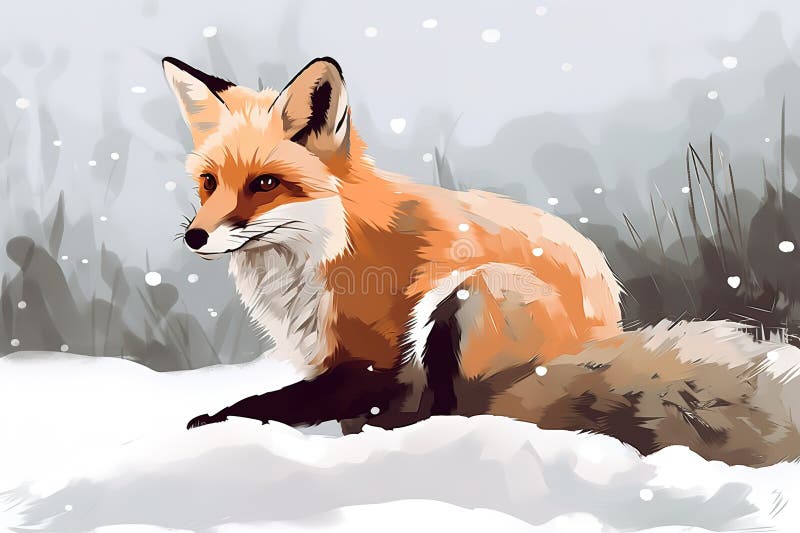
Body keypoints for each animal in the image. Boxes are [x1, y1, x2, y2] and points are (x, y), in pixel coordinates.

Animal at [164, 57, 800, 467]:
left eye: (265, 184)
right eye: (209, 182)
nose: (195, 237)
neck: (319, 256)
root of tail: (597, 340)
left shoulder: (371, 358)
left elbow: (275, 403)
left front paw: (209, 425)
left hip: (468, 295)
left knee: (460, 412)